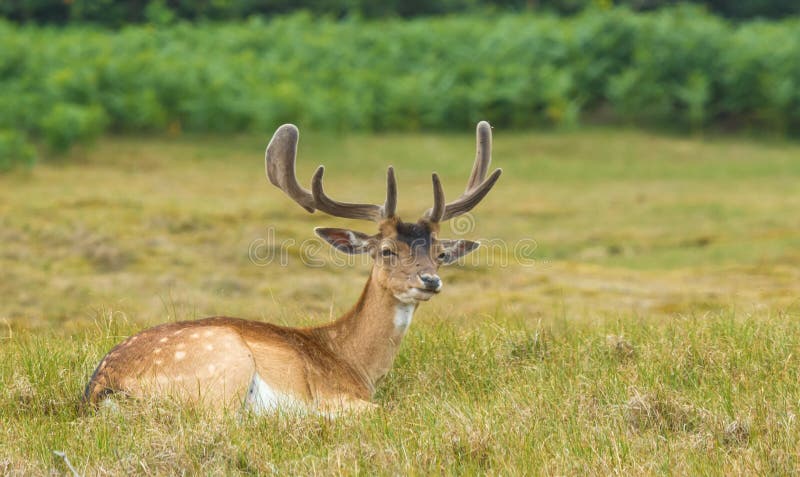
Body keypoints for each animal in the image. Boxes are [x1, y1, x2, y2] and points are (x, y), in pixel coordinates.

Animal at [83, 121, 502, 415]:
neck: (354, 364)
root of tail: (101, 388)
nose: (429, 280)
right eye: (386, 251)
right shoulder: (336, 394)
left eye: (440, 253)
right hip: (223, 364)